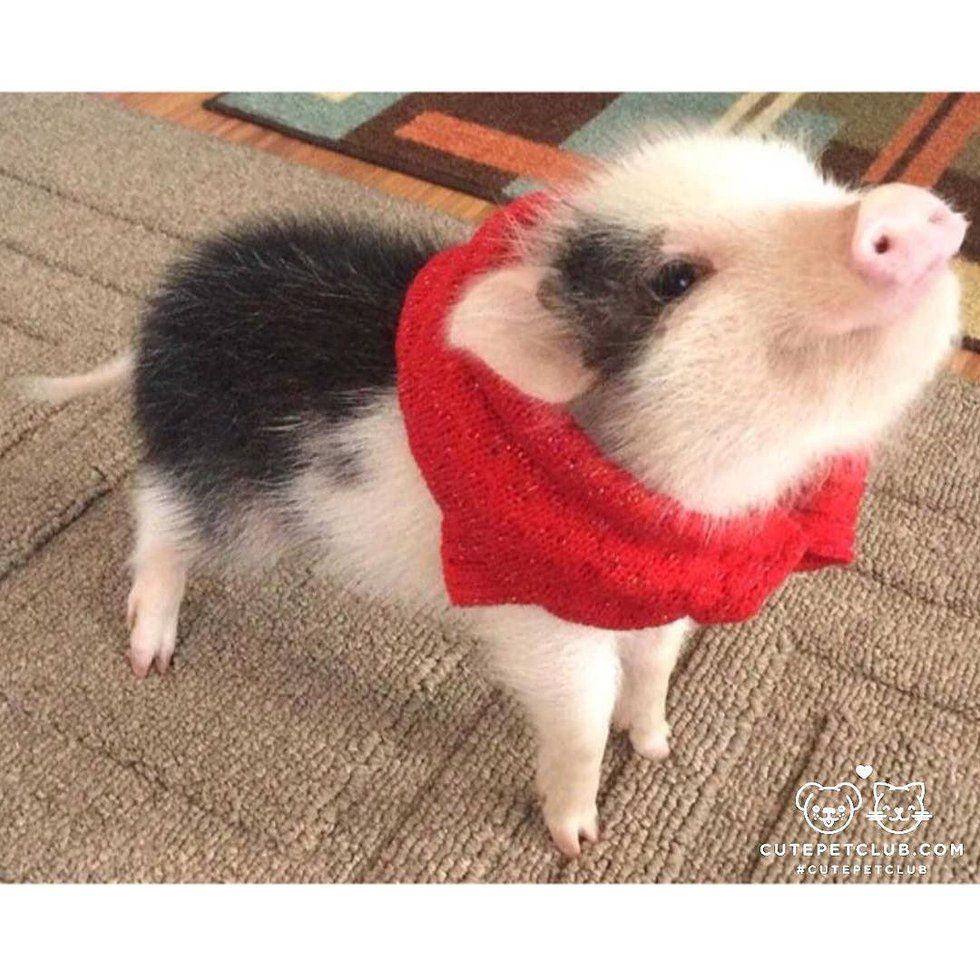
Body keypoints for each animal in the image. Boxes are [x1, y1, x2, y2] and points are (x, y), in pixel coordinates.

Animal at [12, 131, 966, 857]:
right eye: (674, 279)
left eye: (817, 183)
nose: (907, 207)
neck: (681, 492)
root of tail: (156, 325)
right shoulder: (539, 619)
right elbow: (579, 717)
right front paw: (578, 840)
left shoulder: (667, 588)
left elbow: (656, 664)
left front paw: (658, 747)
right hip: (230, 486)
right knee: (157, 514)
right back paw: (151, 653)